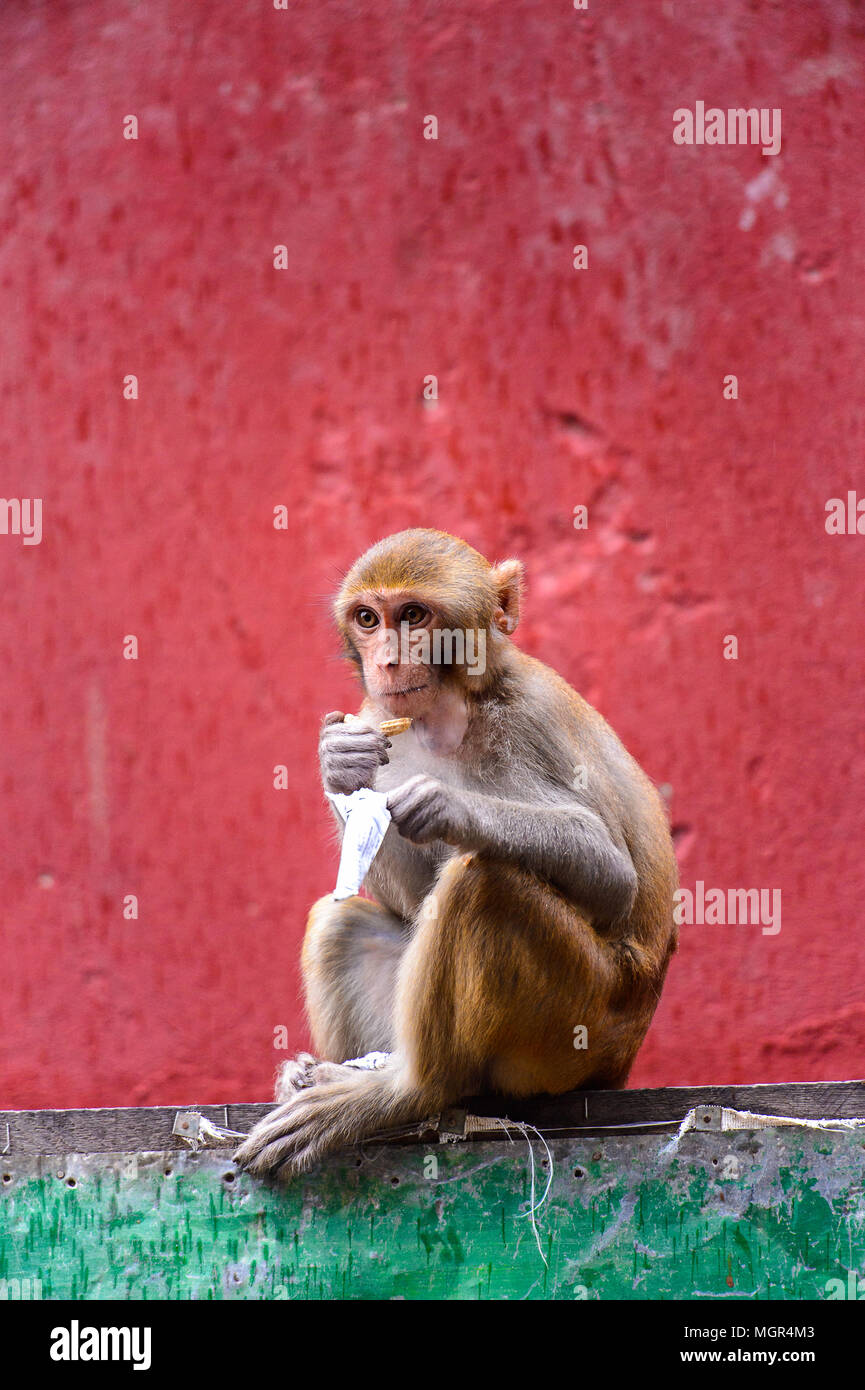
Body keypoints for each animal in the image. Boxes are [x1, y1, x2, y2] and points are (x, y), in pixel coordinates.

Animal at [233, 528, 677, 1177]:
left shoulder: (529, 719)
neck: (452, 712)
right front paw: (337, 763)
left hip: (579, 1031)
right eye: (368, 618)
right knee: (342, 920)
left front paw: (447, 807)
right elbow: (409, 896)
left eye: (414, 616)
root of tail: (622, 1059)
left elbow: (612, 875)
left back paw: (405, 1091)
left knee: (486, 885)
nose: (387, 661)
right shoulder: (379, 717)